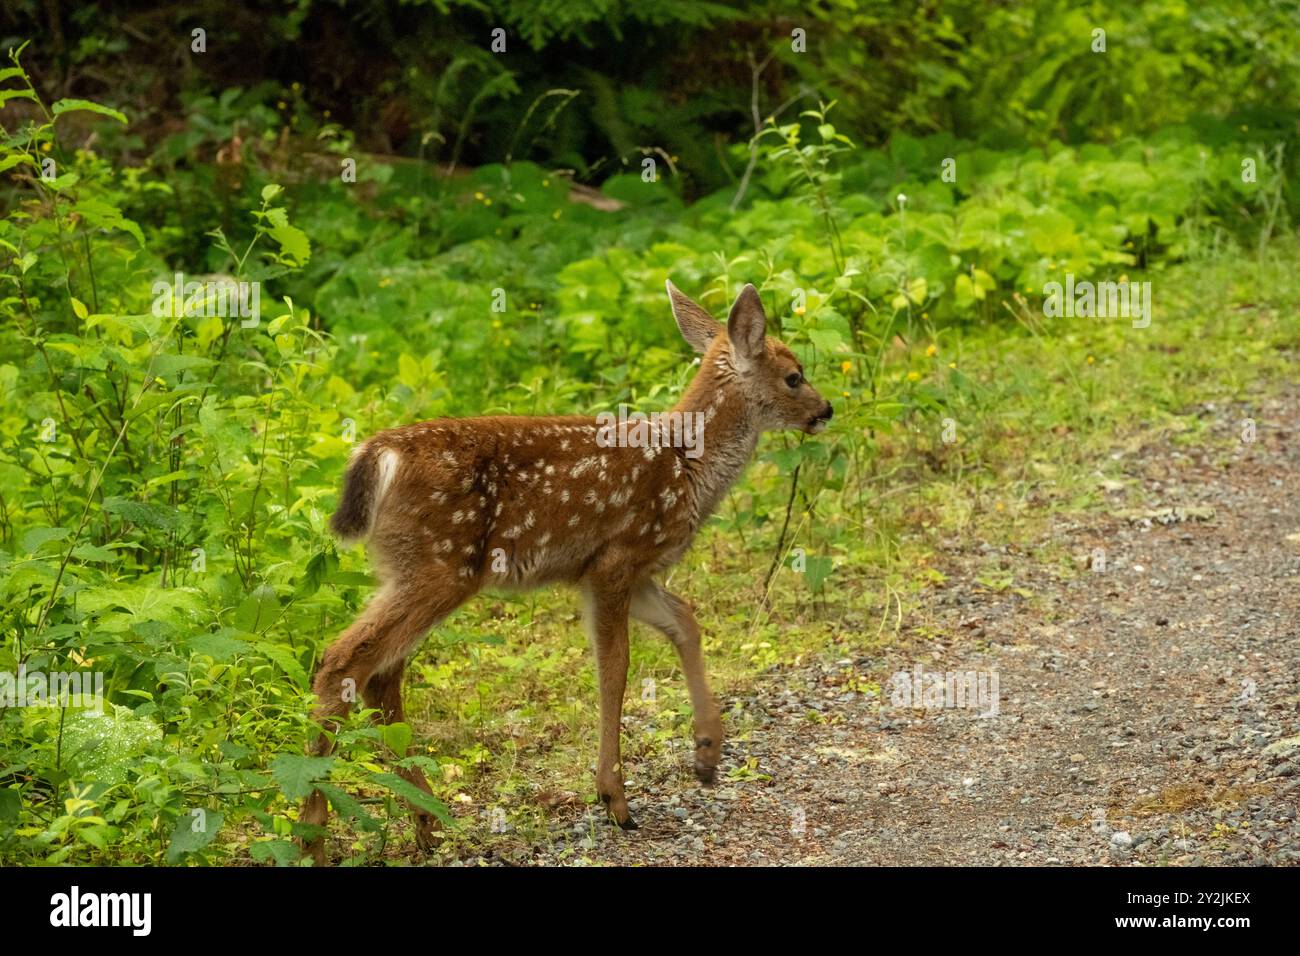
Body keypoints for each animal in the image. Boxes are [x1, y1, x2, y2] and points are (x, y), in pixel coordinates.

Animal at [299, 281, 833, 864]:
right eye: (794, 375)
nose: (826, 409)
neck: (687, 465)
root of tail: (377, 454)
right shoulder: (616, 559)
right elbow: (615, 669)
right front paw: (615, 799)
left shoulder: (628, 569)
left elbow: (686, 623)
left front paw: (707, 754)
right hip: (441, 564)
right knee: (344, 660)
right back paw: (313, 839)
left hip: (408, 569)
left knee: (380, 674)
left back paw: (427, 824)